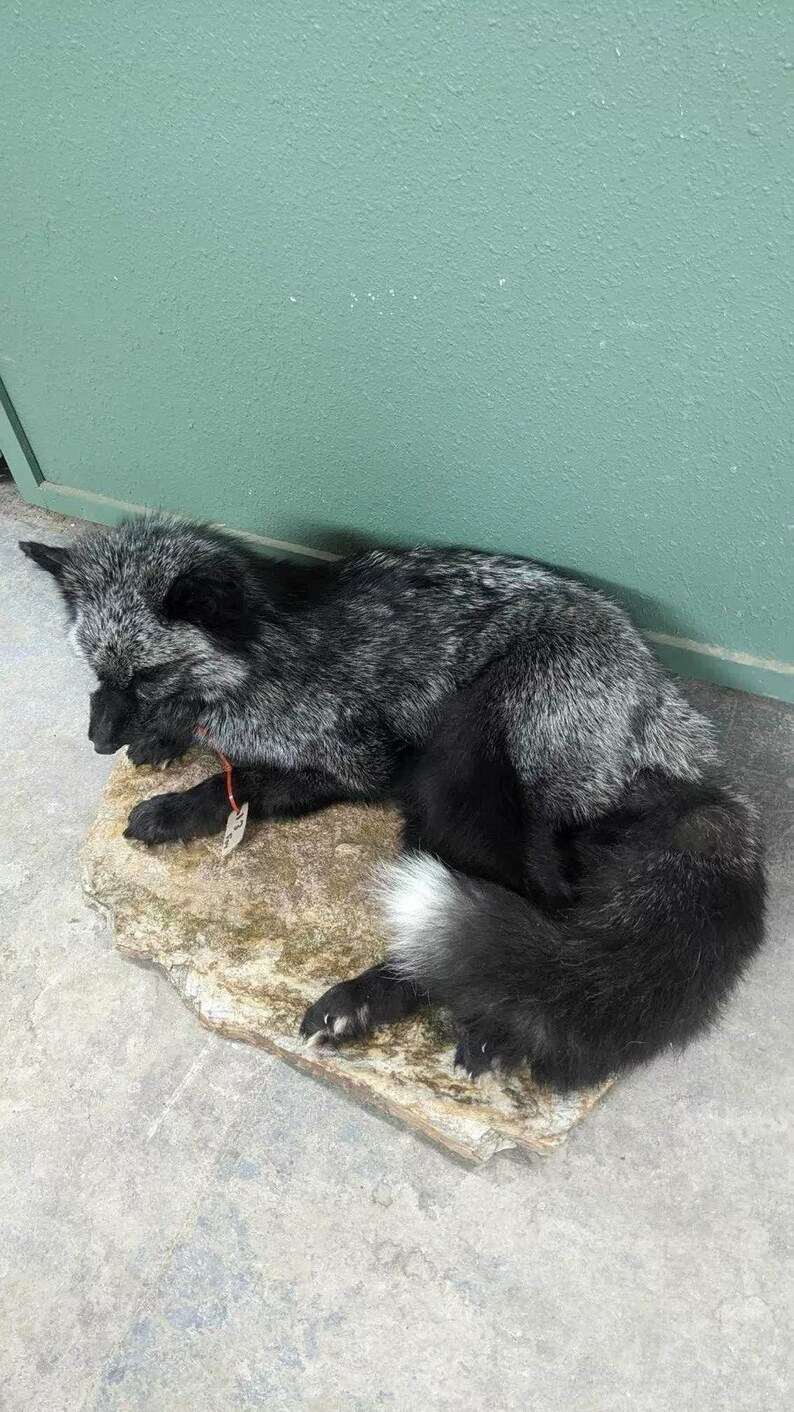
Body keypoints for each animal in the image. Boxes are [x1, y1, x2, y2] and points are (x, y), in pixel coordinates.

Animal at [21, 516, 765, 1091]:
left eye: (148, 673)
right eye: (98, 669)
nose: (97, 742)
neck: (266, 646)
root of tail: (663, 704)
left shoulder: (361, 763)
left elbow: (239, 785)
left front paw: (175, 806)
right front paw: (163, 742)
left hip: (459, 776)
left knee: (534, 912)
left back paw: (403, 1009)